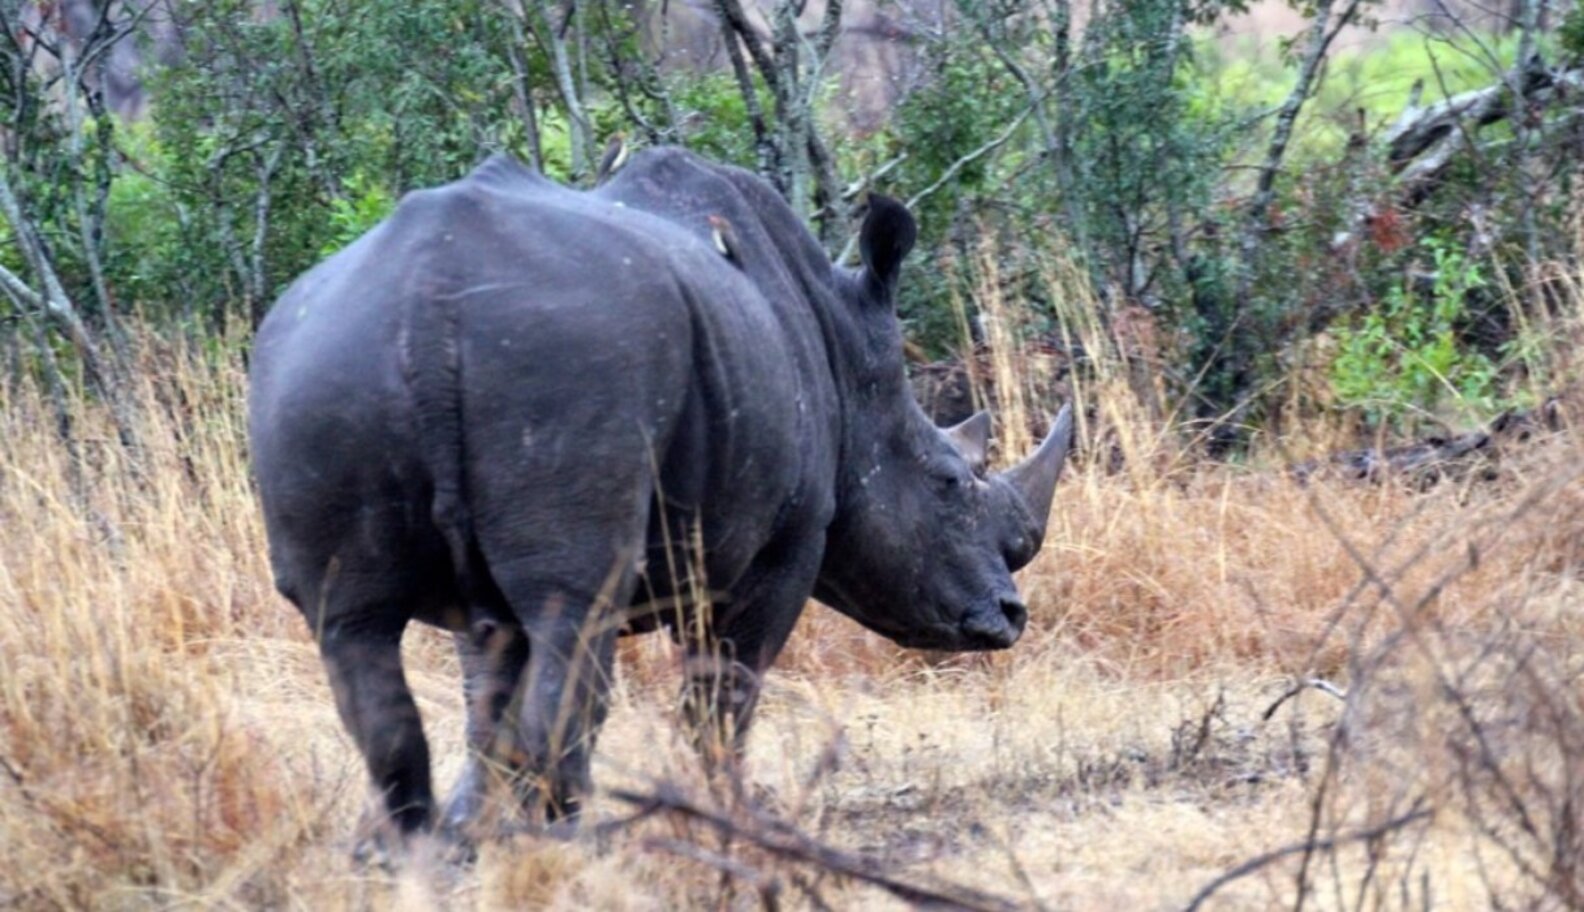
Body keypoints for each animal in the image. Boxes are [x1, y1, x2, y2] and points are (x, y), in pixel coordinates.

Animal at [247, 147, 1072, 846]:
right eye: (948, 483)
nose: (1011, 616)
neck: (844, 347)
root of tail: (427, 299)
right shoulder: (783, 544)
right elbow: (724, 690)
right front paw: (733, 816)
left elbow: (487, 694)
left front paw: (474, 832)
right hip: (562, 366)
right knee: (572, 609)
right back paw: (572, 846)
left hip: (324, 366)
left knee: (354, 627)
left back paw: (420, 852)